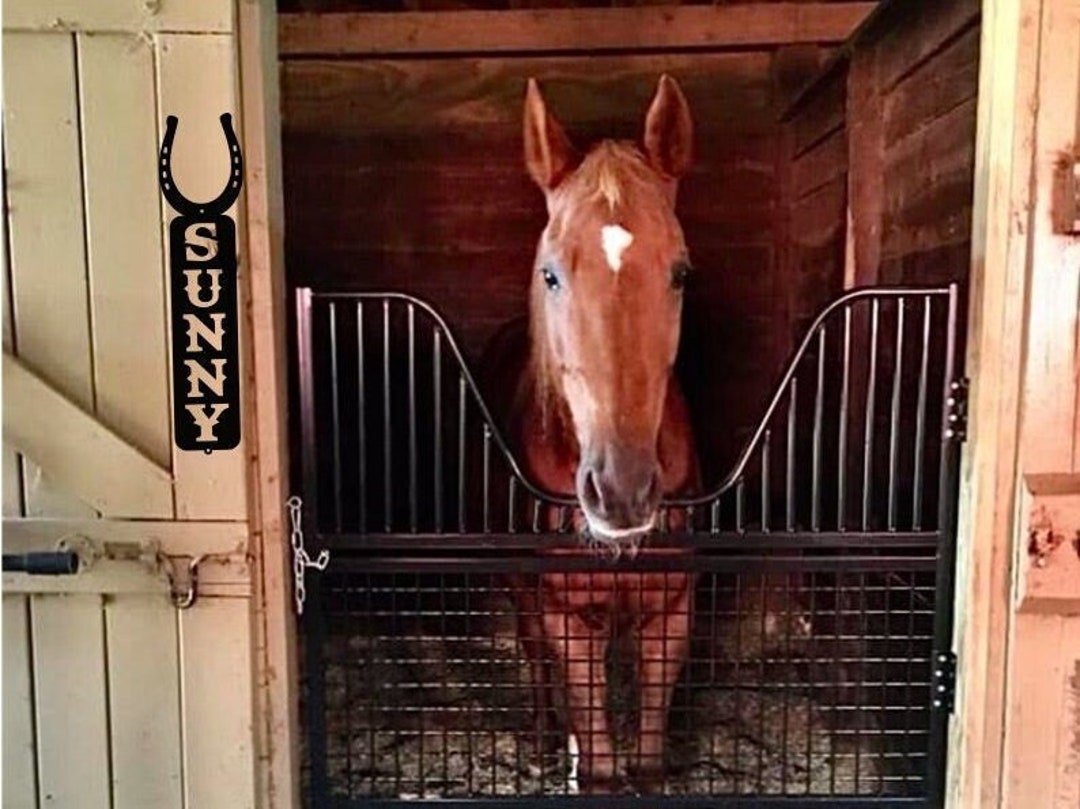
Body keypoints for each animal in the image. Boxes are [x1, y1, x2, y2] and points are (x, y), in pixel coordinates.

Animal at [482, 74, 700, 792]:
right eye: (551, 273)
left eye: (680, 271)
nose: (621, 491)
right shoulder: (566, 618)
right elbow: (601, 762)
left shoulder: (670, 614)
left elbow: (650, 760)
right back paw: (547, 739)